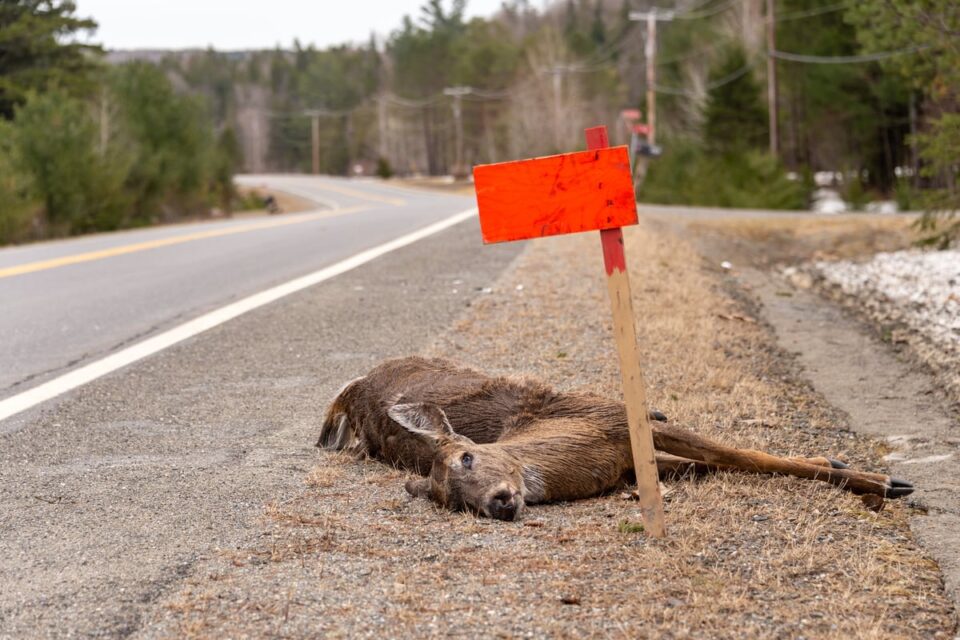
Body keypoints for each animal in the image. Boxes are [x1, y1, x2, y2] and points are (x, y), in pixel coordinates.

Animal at [317, 356, 913, 521]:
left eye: (466, 457)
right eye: (452, 504)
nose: (499, 503)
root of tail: (354, 392)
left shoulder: (621, 422)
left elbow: (741, 454)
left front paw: (884, 481)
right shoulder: (632, 458)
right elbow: (719, 463)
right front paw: (864, 477)